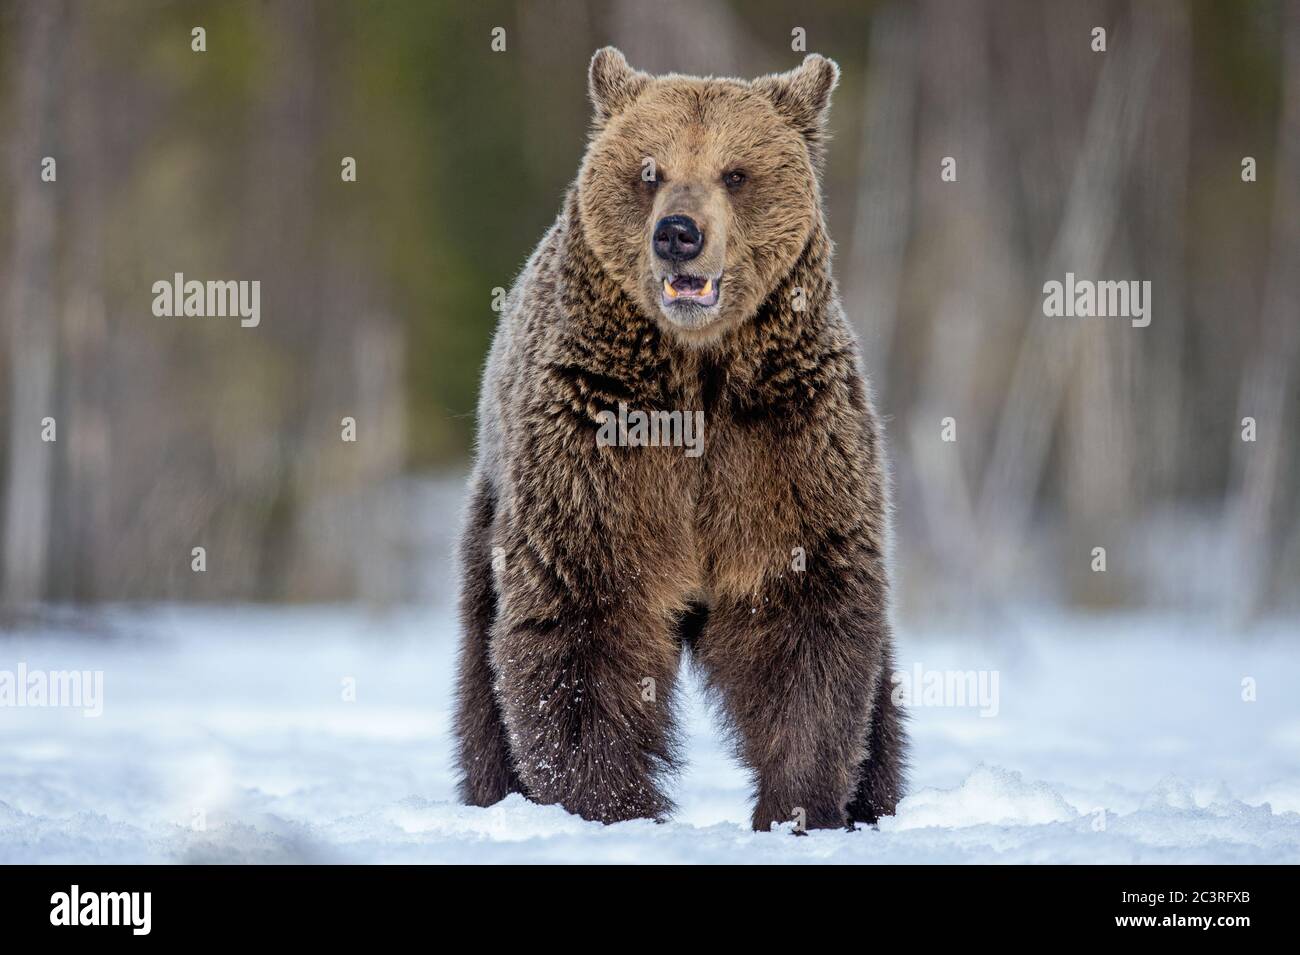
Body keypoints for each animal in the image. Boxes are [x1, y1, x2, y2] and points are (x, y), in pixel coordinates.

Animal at [453, 47, 905, 832]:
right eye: (648, 170)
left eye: (736, 172)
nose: (678, 233)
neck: (696, 373)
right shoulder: (599, 439)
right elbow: (582, 617)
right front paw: (606, 803)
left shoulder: (784, 441)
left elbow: (803, 610)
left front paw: (800, 803)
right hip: (496, 500)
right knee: (483, 662)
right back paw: (493, 793)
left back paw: (875, 800)